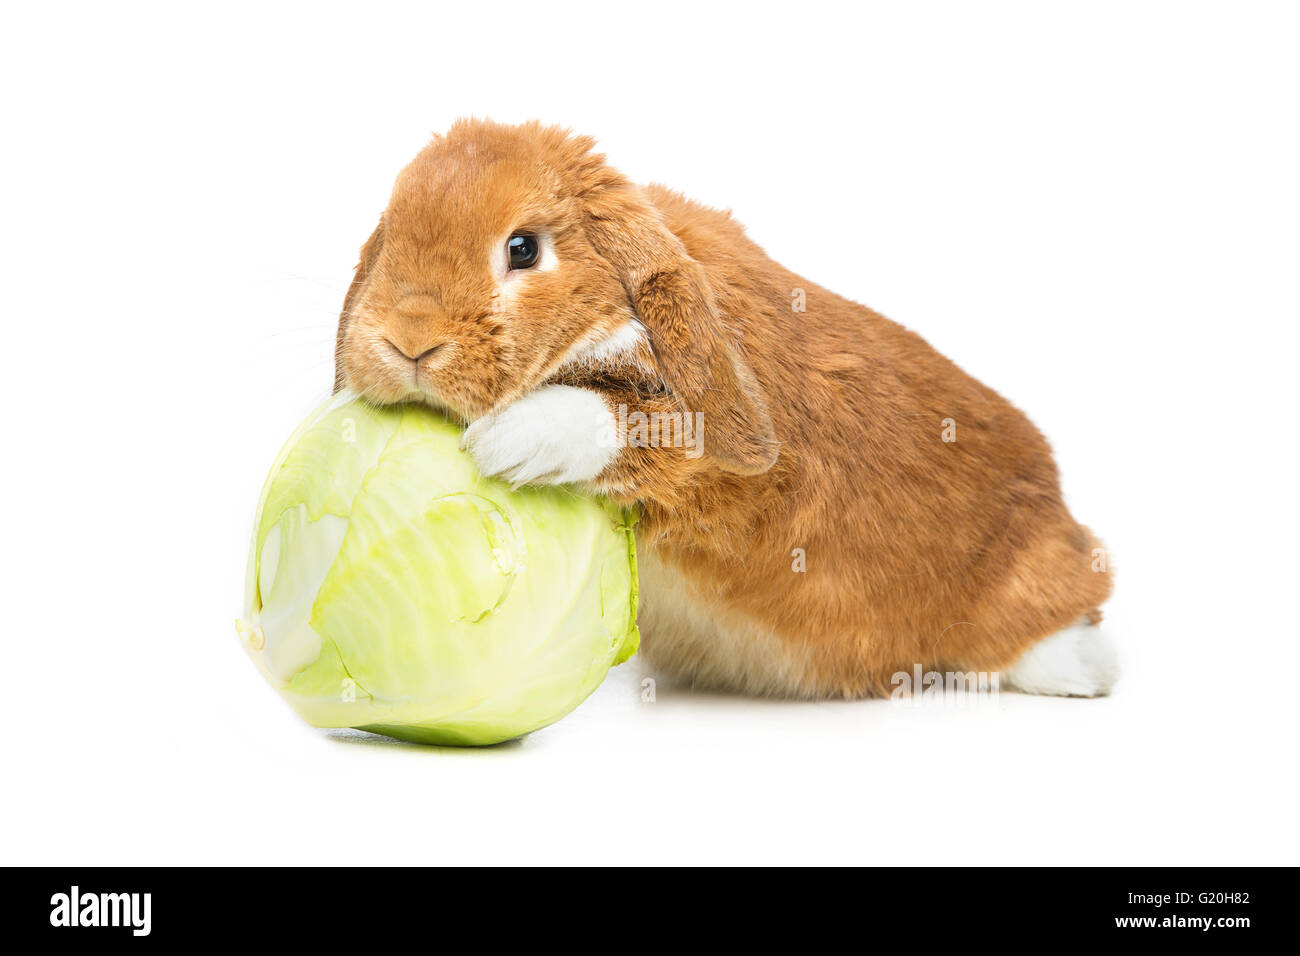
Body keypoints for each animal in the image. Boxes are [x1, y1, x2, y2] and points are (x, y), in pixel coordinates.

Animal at [334, 119, 1117, 699]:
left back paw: (1087, 669)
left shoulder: (737, 475)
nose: (409, 341)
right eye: (389, 231)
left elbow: (630, 426)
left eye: (523, 248)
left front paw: (510, 442)